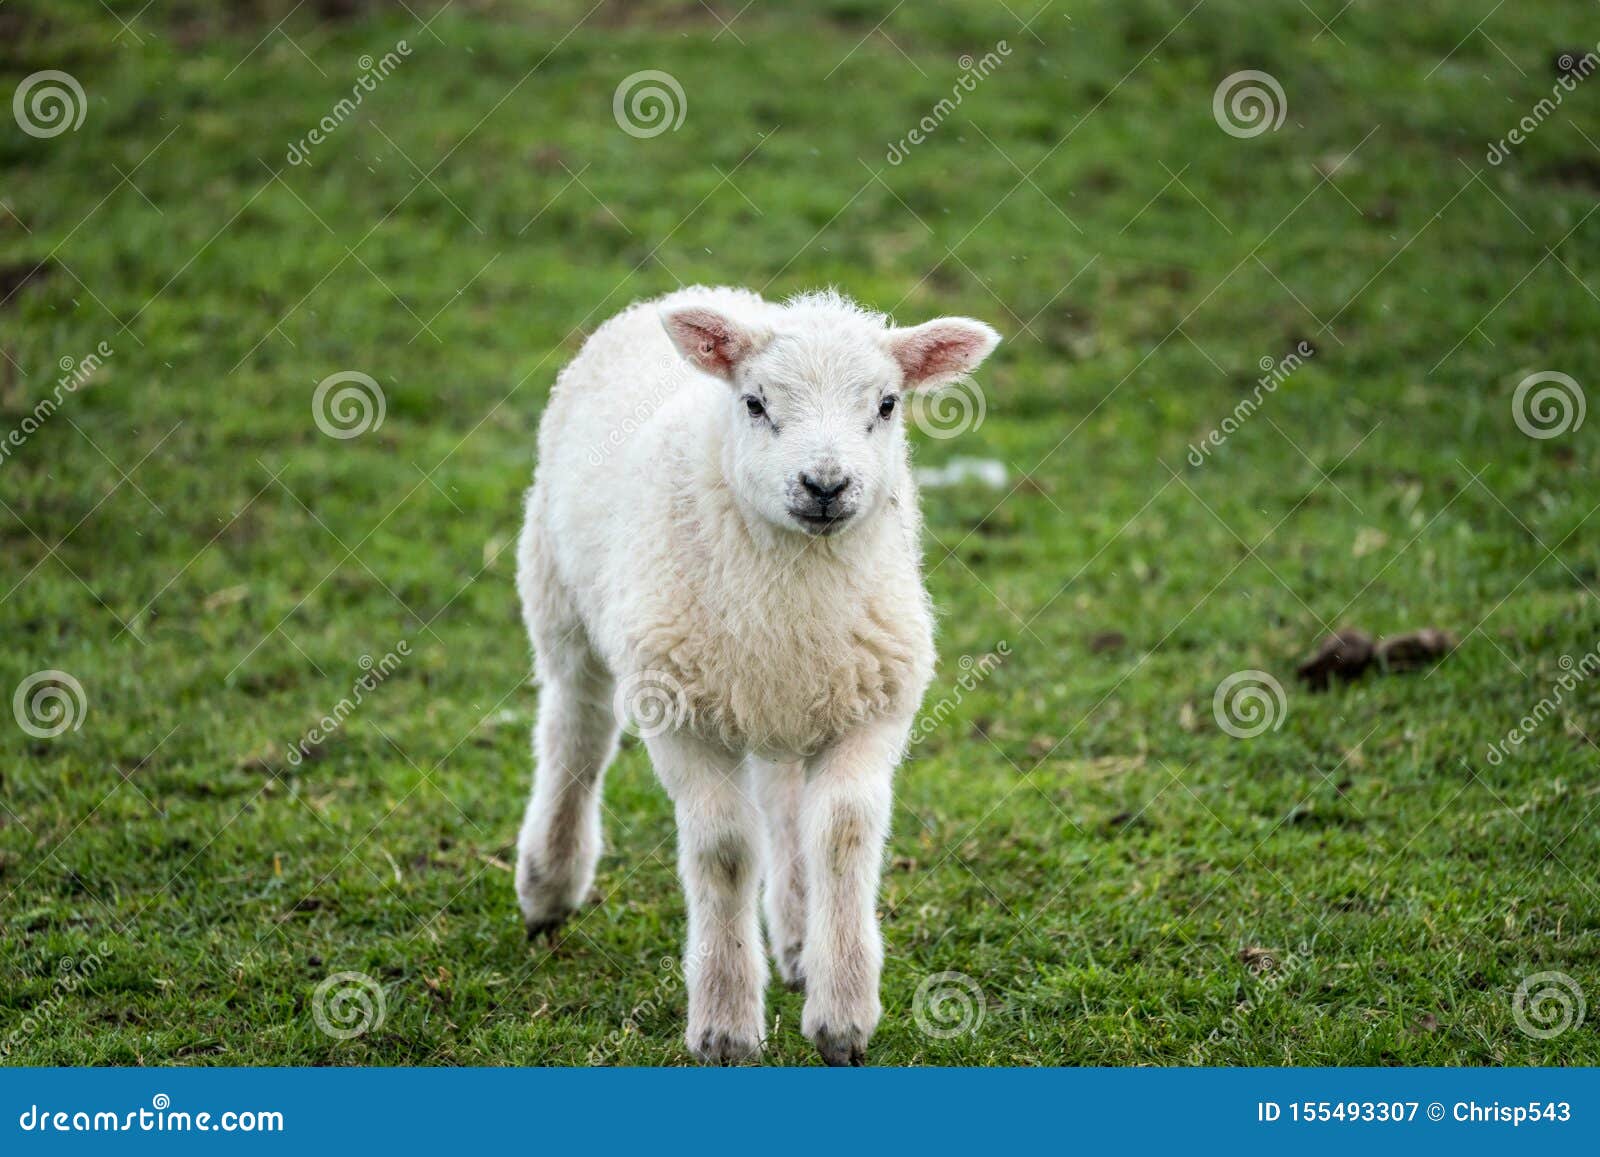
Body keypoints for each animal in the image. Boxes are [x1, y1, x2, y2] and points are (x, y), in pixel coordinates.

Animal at [515, 285, 1000, 1065]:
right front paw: (725, 1025)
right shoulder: (681, 712)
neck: (794, 584)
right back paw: (548, 885)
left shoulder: (873, 705)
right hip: (560, 600)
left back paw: (799, 942)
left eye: (887, 403)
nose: (825, 484)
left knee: (784, 801)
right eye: (755, 403)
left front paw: (842, 1016)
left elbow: (841, 832)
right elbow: (725, 851)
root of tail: (691, 296)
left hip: (787, 696)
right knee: (575, 734)